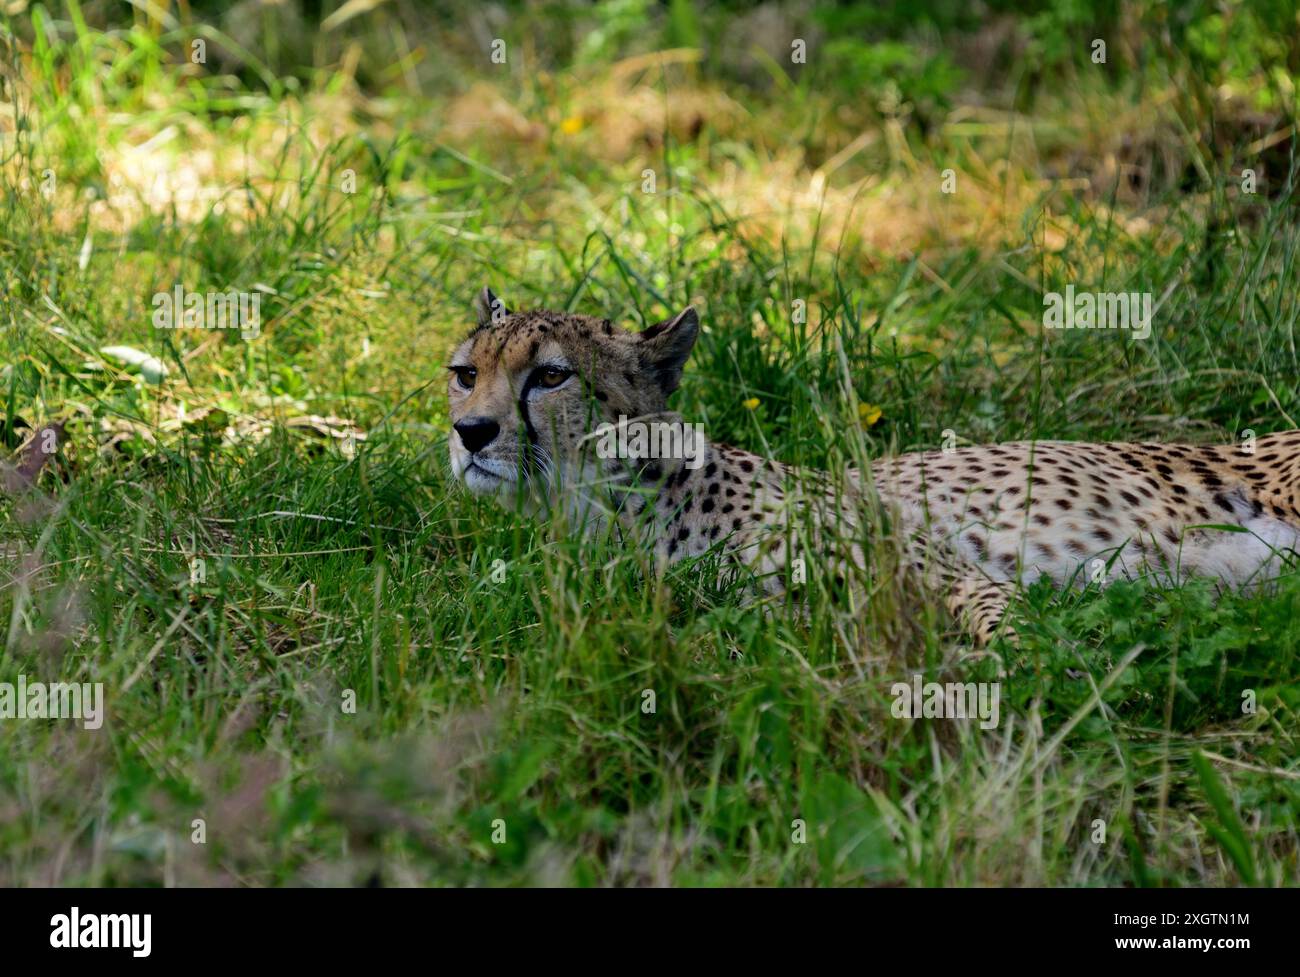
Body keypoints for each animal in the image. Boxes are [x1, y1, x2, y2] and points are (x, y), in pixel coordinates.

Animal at [447, 287, 1300, 643]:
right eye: (465, 372)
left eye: (550, 375)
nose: (471, 432)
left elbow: (1002, 630)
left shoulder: (940, 568)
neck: (611, 509)